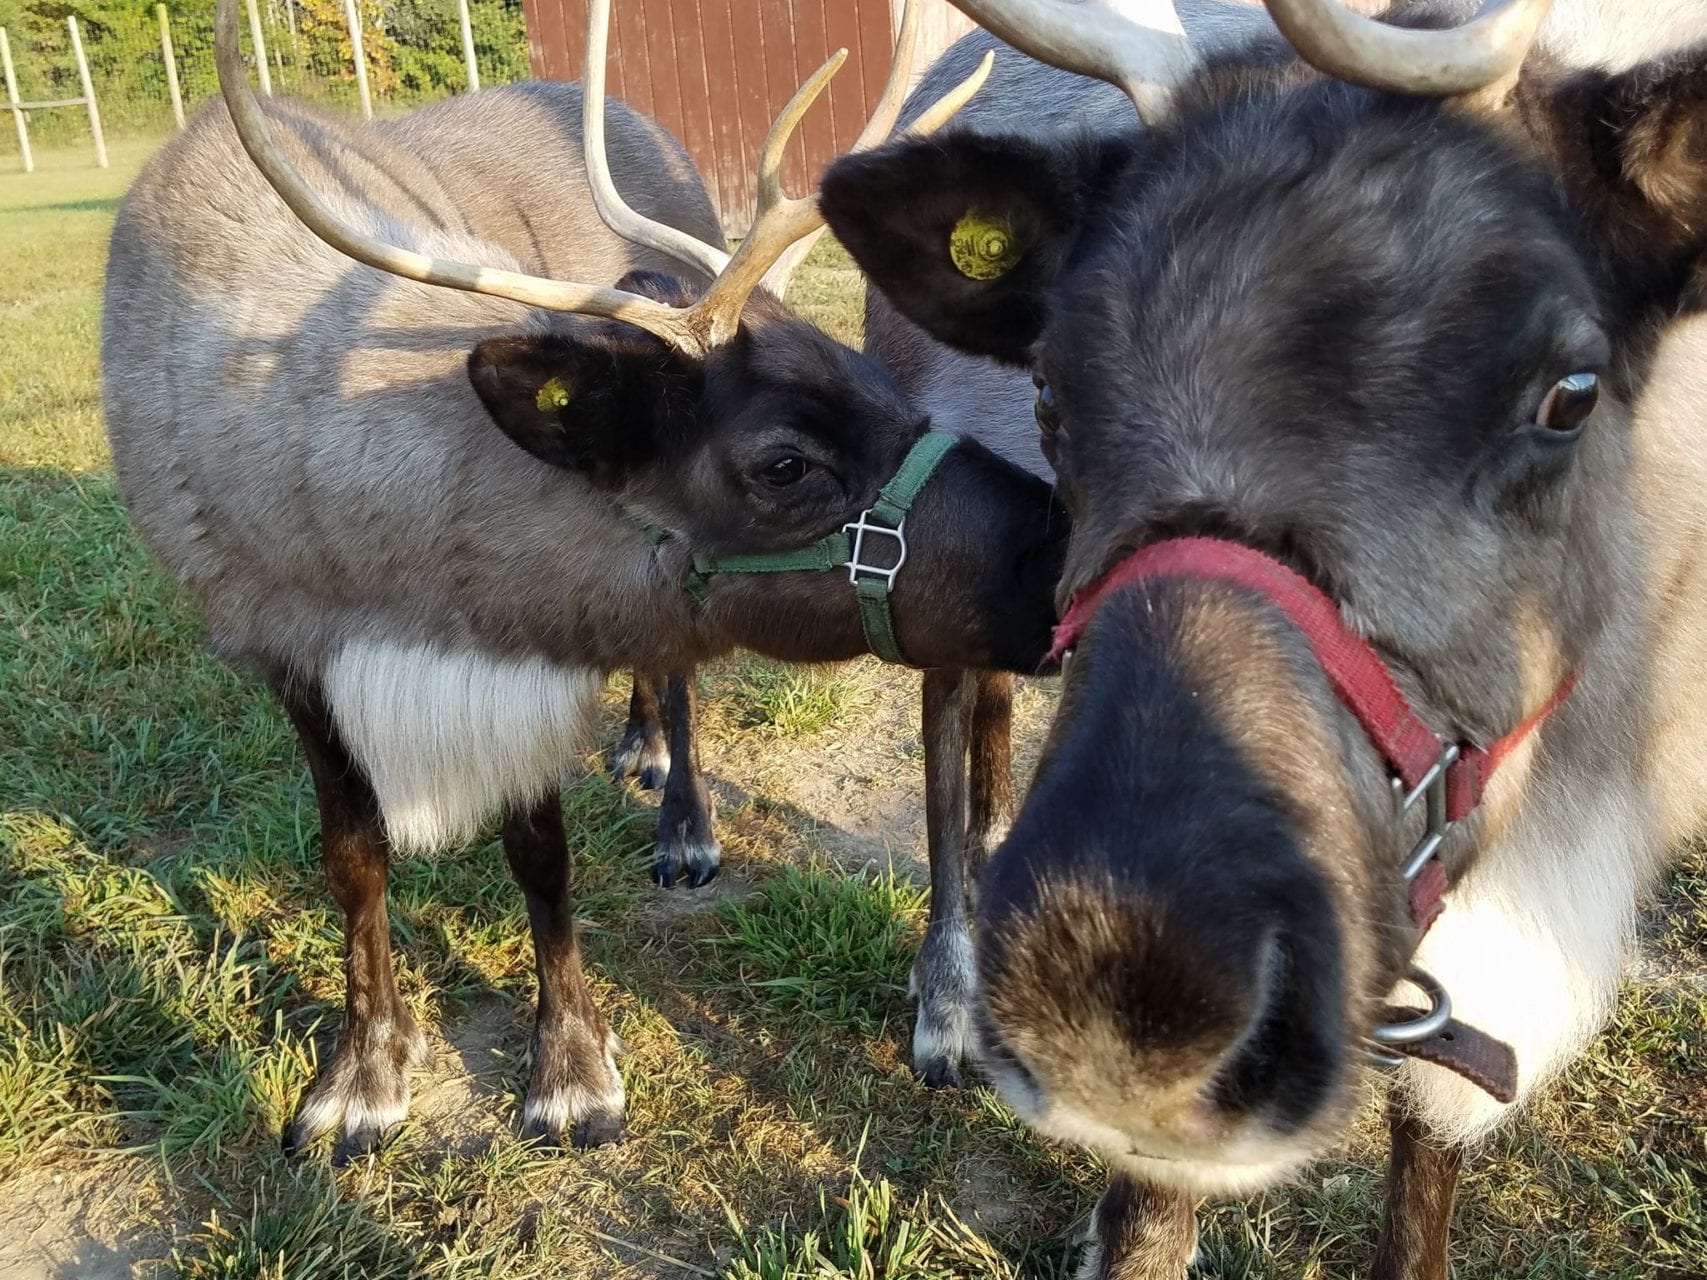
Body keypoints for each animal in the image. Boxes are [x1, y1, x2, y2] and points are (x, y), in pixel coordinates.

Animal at [99, 0, 1072, 1161]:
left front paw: (568, 1069)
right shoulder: (277, 642)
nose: (1065, 551)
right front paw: (361, 1073)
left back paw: (680, 811)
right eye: (784, 464)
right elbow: (352, 855)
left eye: (877, 376)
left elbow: (539, 853)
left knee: (675, 682)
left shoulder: (522, 629)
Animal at [820, 0, 1707, 1274]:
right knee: (948, 715)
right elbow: (1146, 1224)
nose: (1107, 993)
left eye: (1570, 392)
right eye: (1049, 386)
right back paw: (945, 995)